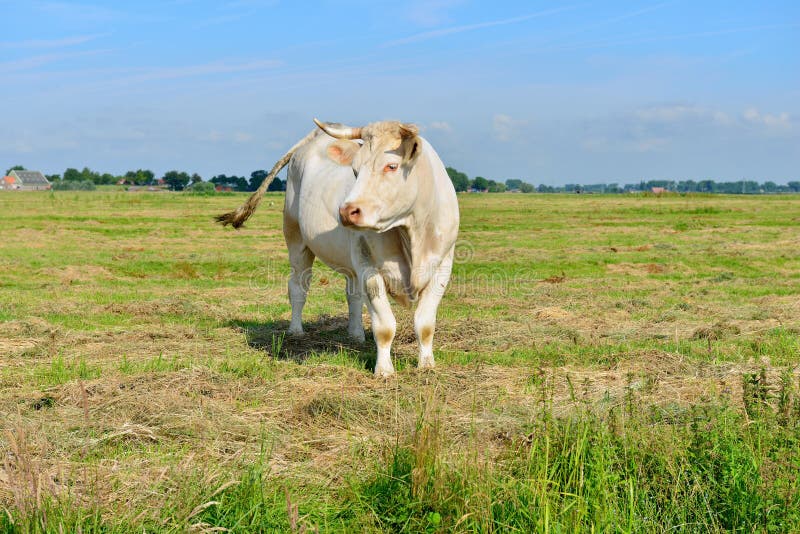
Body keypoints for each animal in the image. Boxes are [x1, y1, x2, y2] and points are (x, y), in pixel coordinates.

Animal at [216, 119, 459, 376]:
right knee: (298, 288)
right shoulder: (369, 267)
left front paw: (427, 365)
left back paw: (356, 335)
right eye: (355, 170)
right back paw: (296, 330)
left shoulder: (443, 265)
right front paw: (384, 371)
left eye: (391, 166)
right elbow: (384, 326)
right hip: (297, 240)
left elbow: (425, 324)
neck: (410, 231)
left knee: (352, 294)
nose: (346, 211)